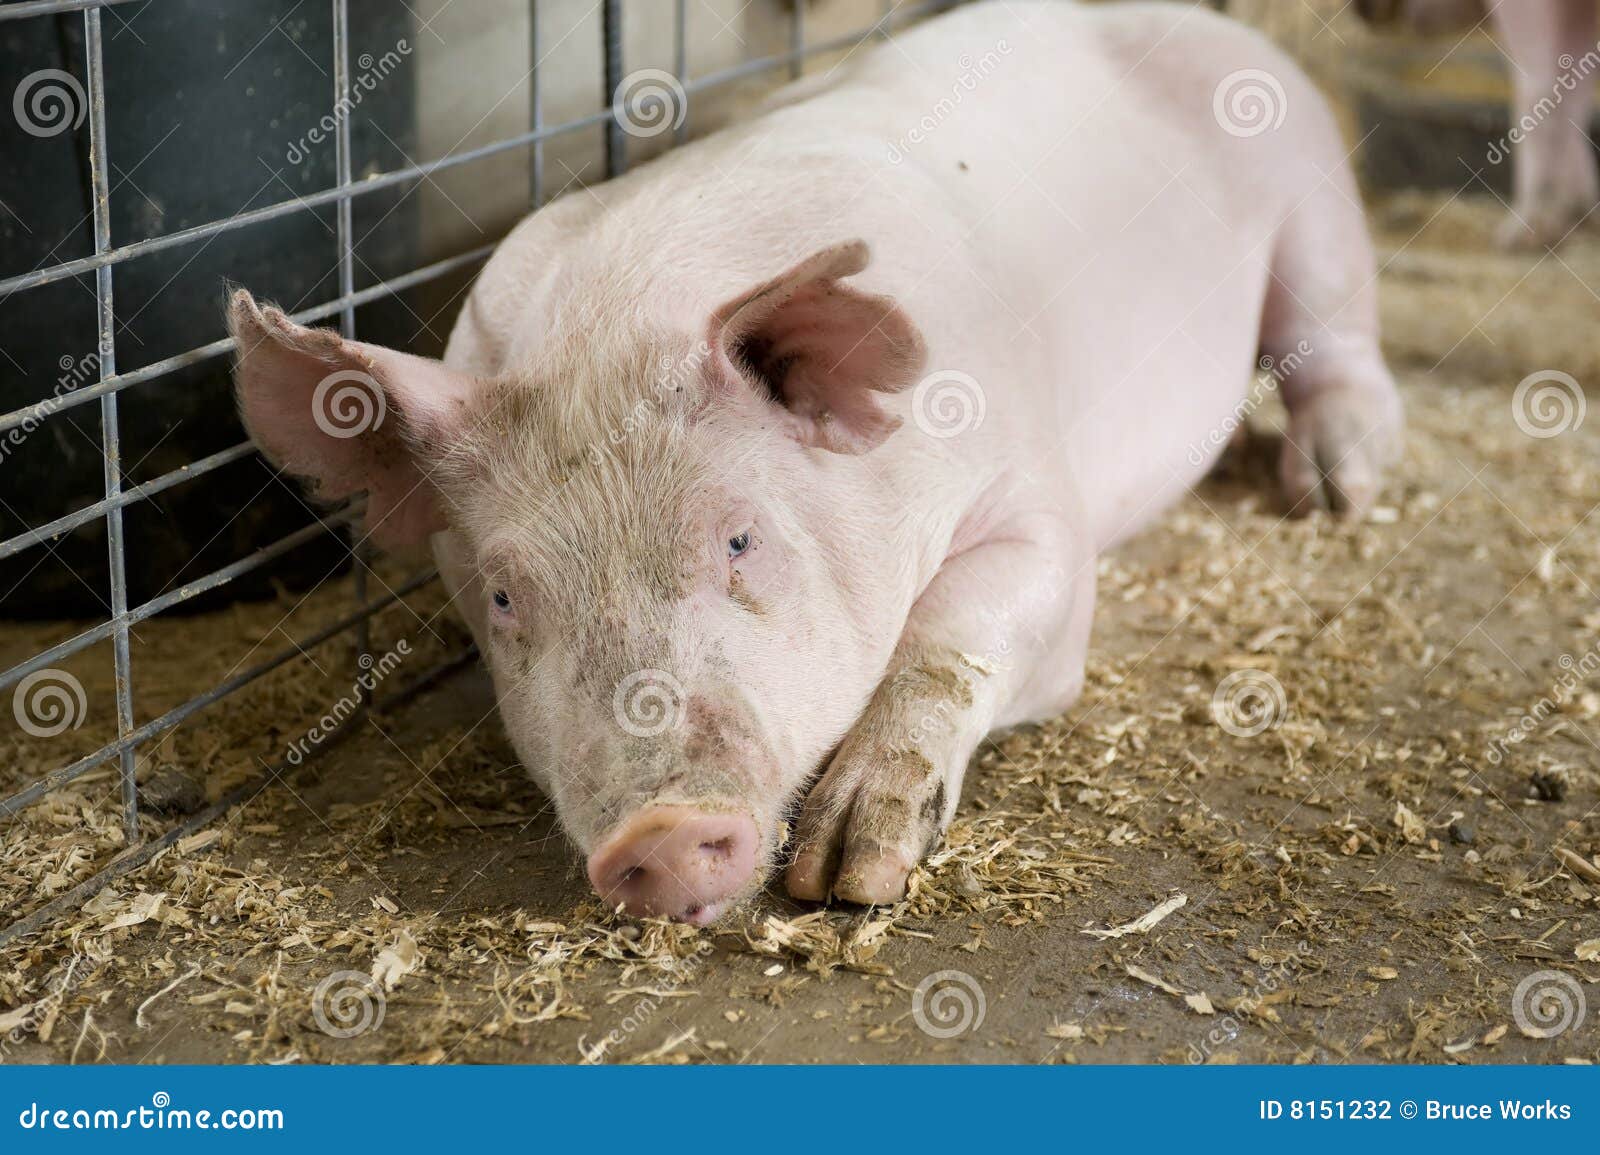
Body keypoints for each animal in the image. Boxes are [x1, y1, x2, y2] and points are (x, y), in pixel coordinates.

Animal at [229, 0, 1402, 923]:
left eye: (741, 537)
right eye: (509, 597)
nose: (661, 830)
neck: (612, 323)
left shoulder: (1040, 512)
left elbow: (953, 631)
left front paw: (847, 877)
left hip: (1313, 199)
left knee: (1336, 341)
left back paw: (1340, 491)